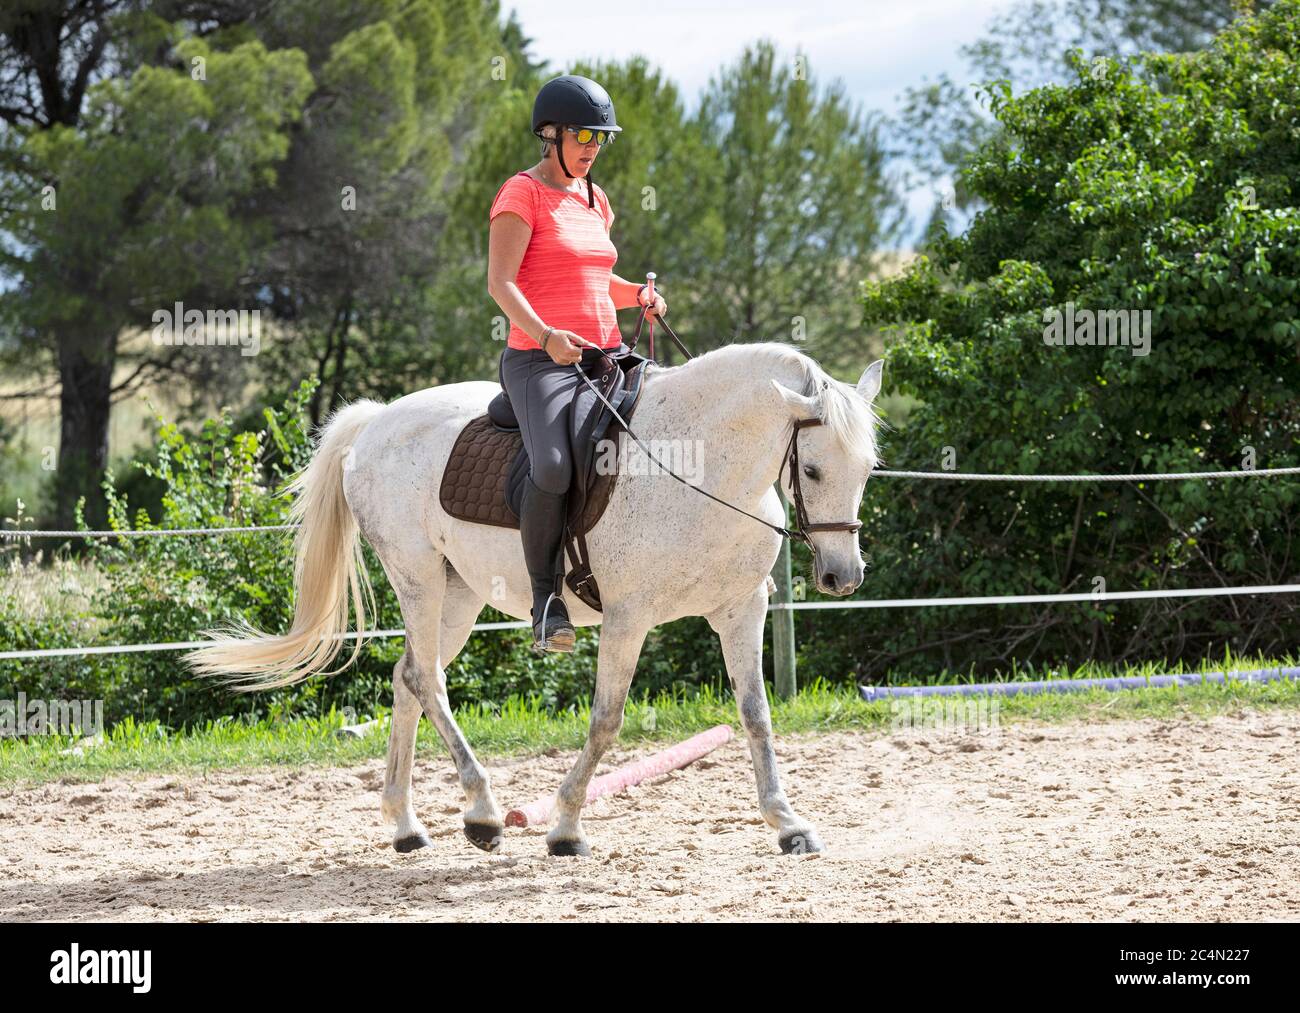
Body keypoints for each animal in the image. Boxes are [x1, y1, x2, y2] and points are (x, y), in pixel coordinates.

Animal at [189, 342, 883, 857]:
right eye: (813, 471)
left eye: (868, 469)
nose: (842, 577)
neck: (702, 466)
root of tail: (377, 418)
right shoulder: (628, 619)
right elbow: (606, 721)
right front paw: (565, 827)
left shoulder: (740, 611)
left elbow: (756, 716)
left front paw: (789, 825)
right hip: (417, 577)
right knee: (426, 679)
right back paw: (483, 814)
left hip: (457, 595)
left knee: (408, 677)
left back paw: (407, 826)